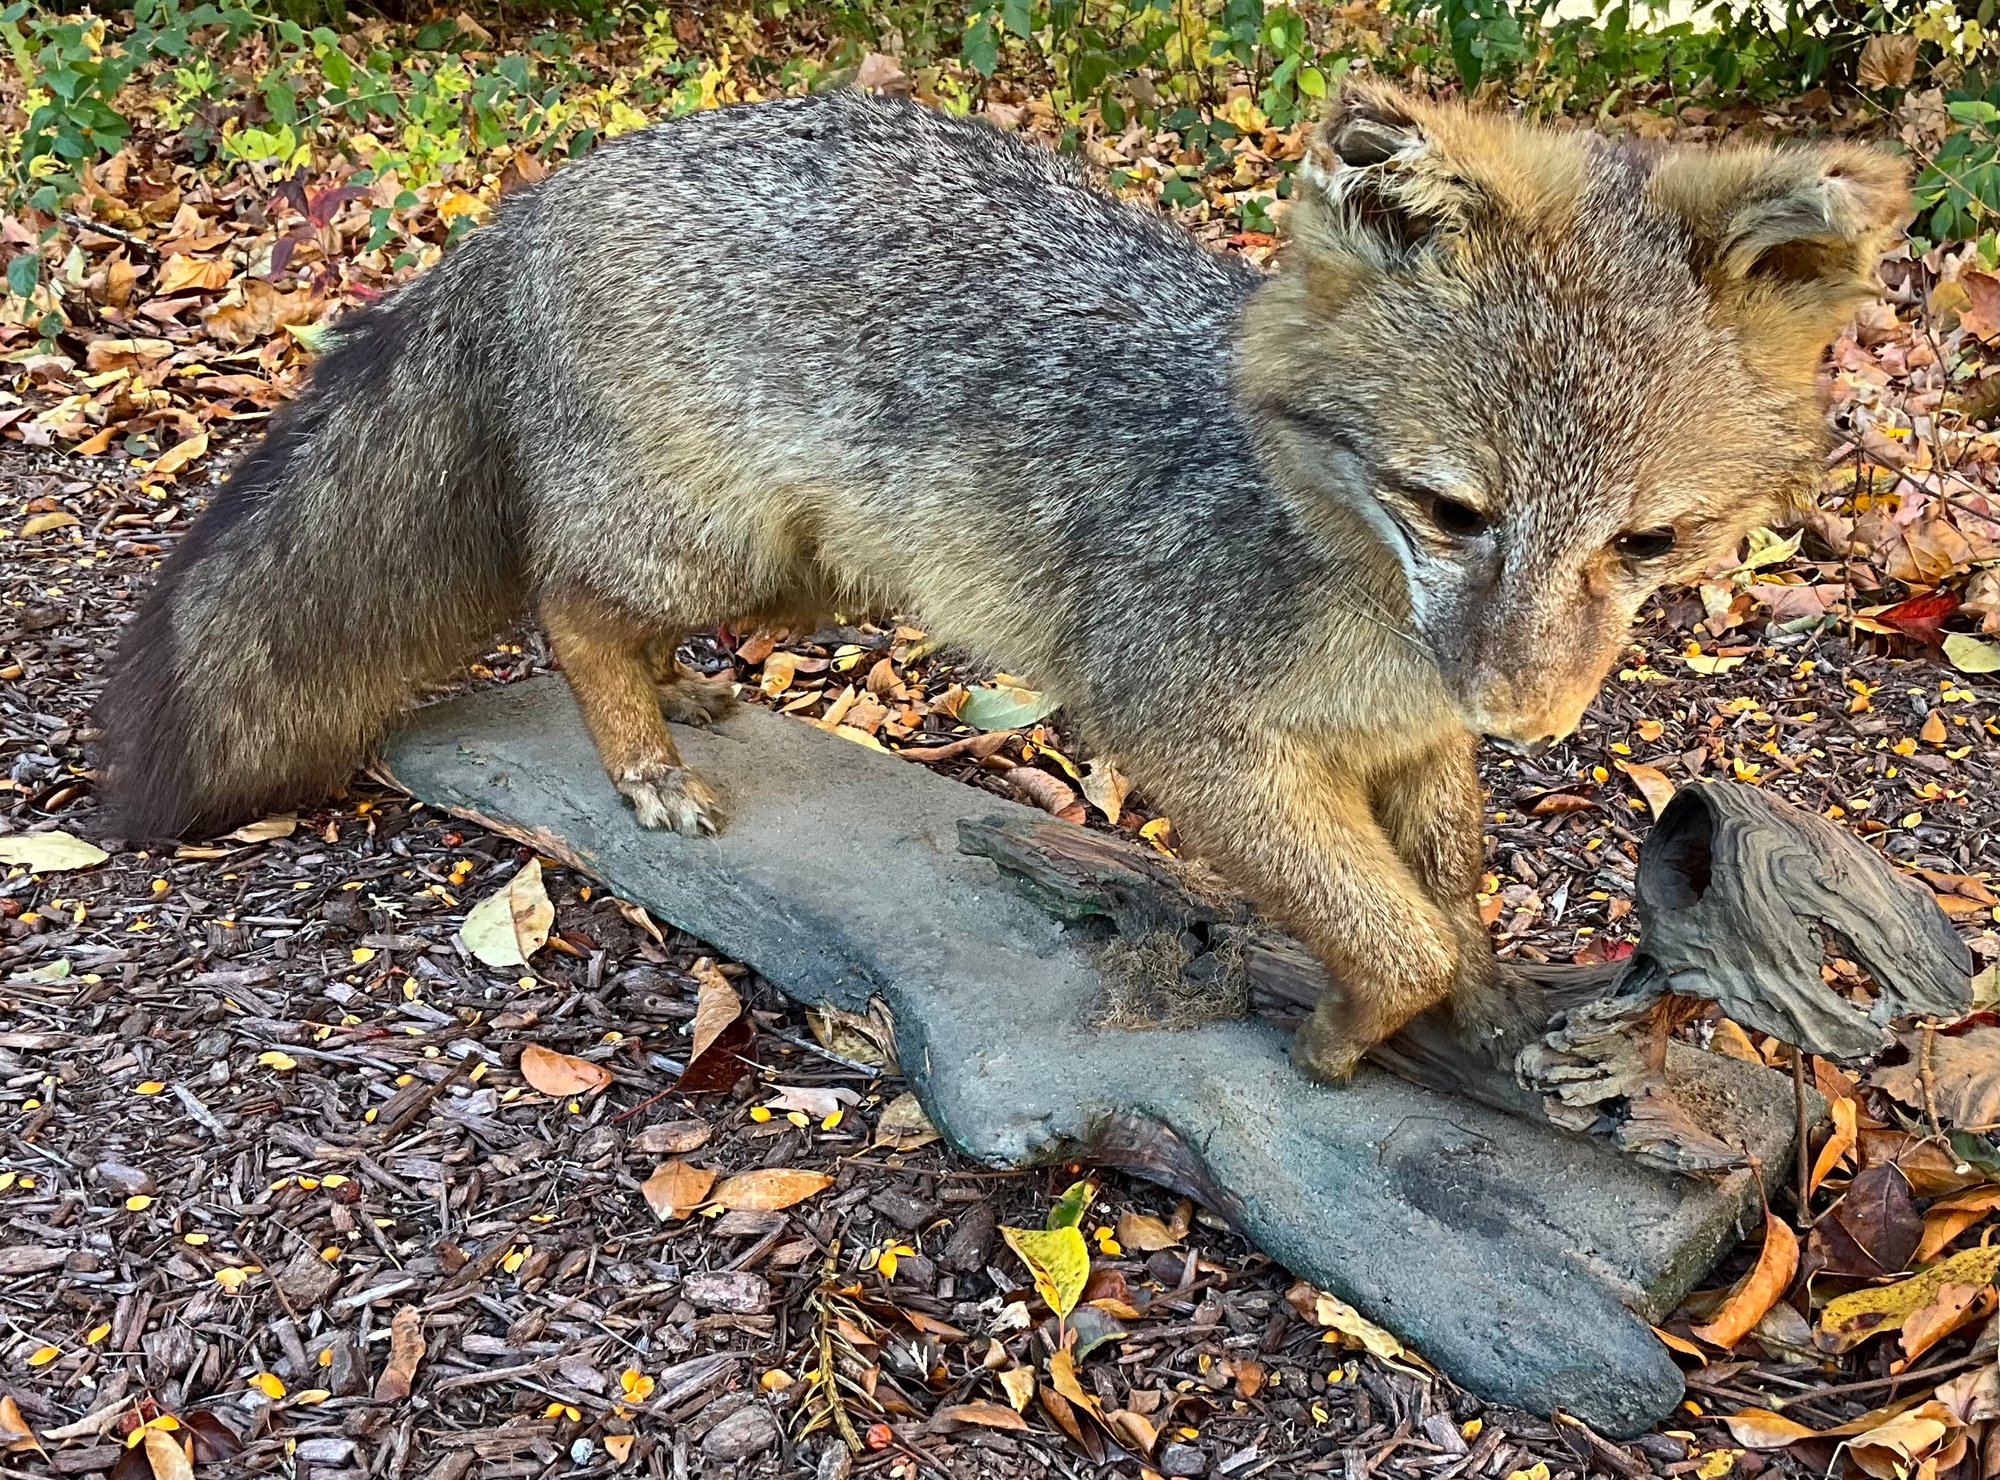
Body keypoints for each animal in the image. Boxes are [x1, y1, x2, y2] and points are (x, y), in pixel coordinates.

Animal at [95, 81, 1905, 1080]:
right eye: (1450, 510)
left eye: (1647, 543)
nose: (1529, 711)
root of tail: (543, 191)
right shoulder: (1195, 737)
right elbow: (1383, 932)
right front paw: (1348, 1038)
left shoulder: (1413, 751)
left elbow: (1449, 902)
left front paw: (1486, 1025)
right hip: (711, 548)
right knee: (567, 603)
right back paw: (643, 764)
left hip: (807, 585)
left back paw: (686, 708)